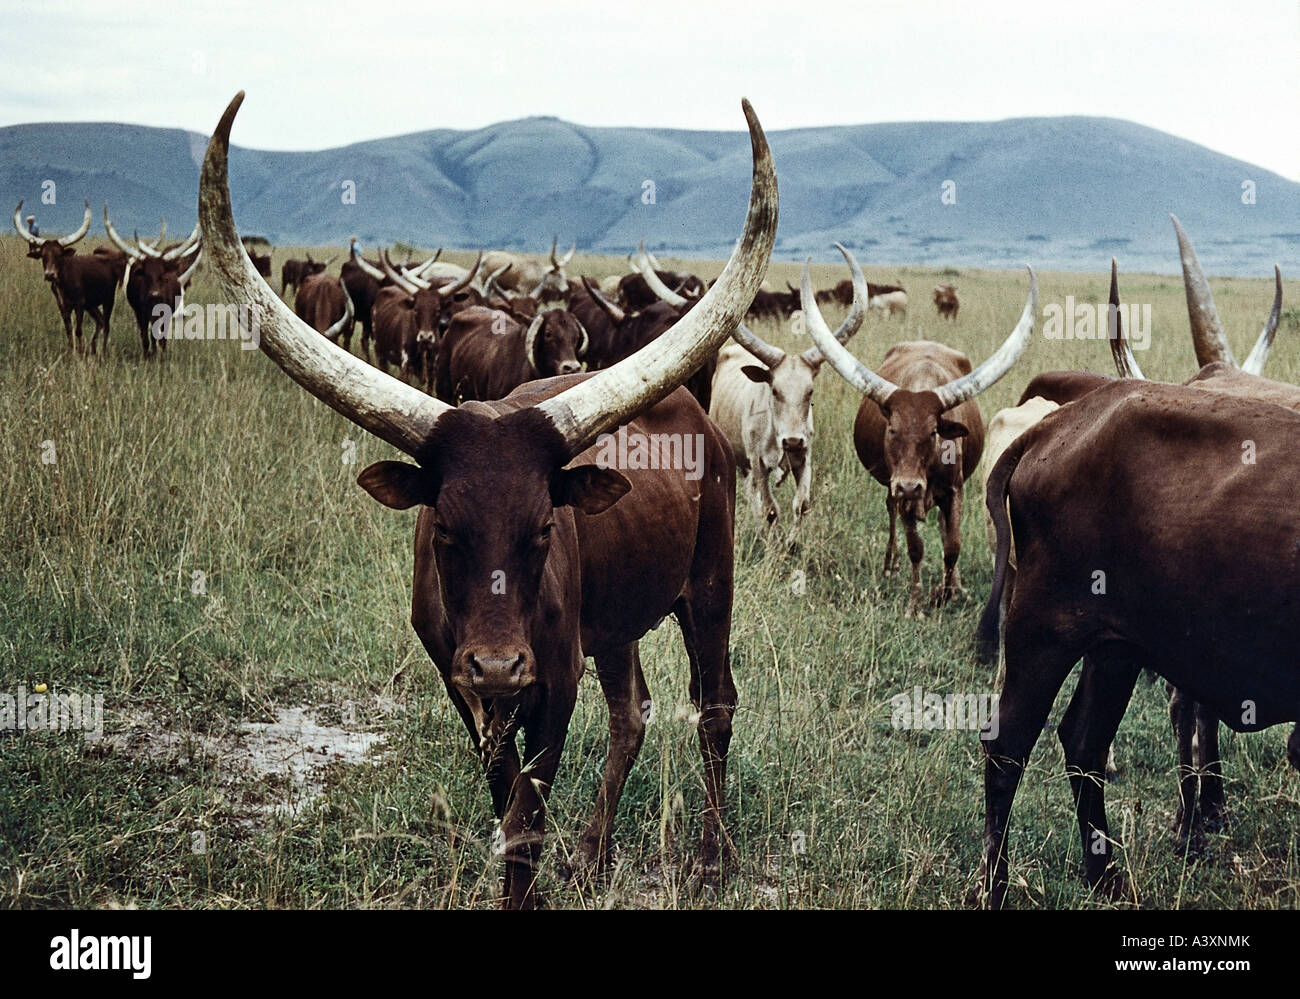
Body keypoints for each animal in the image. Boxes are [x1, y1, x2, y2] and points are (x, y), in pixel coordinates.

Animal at [15, 200, 121, 355]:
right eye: (43, 256)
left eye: (59, 255)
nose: (50, 274)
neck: (63, 281)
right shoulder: (63, 306)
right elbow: (69, 331)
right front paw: (71, 352)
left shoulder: (79, 304)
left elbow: (78, 330)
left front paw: (80, 353)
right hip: (91, 304)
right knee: (100, 321)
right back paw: (93, 349)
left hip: (108, 299)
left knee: (106, 325)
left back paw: (102, 352)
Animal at [104, 208, 203, 356]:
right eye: (145, 275)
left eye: (162, 276)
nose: (155, 295)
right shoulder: (141, 313)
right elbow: (145, 337)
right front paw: (147, 355)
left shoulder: (166, 314)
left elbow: (162, 338)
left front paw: (161, 356)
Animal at [803, 261, 1037, 613]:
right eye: (892, 429)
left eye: (933, 432)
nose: (910, 486)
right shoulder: (902, 489)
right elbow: (915, 545)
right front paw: (916, 601)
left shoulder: (955, 490)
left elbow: (952, 545)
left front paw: (947, 591)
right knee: (891, 513)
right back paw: (891, 565)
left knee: (941, 526)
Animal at [973, 379, 1300, 909]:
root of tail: (1056, 424)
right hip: (1044, 631)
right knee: (1008, 746)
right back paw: (996, 887)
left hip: (1115, 652)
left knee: (1084, 743)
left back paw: (1105, 876)